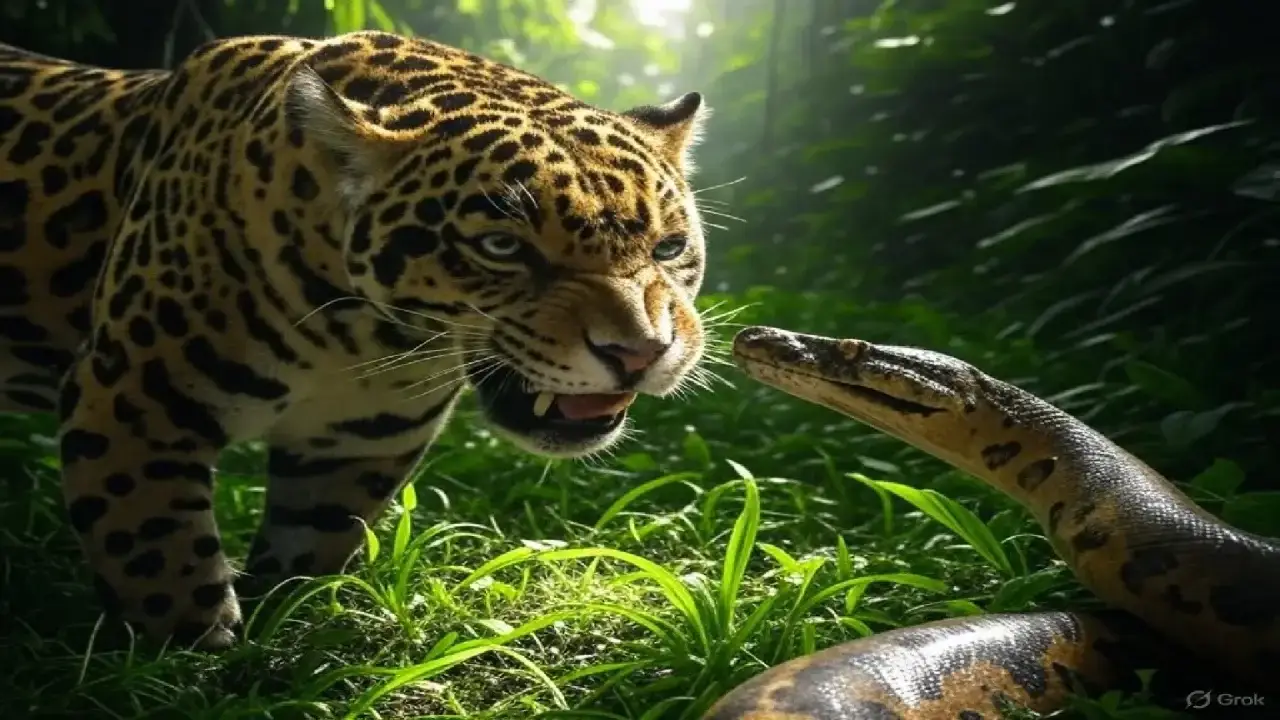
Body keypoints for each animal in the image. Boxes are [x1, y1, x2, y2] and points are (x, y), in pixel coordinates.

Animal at [0, 30, 710, 649]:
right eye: (501, 248)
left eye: (669, 248)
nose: (640, 353)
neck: (358, 333)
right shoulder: (132, 402)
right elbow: (157, 556)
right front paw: (188, 662)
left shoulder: (356, 443)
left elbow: (308, 552)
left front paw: (281, 637)